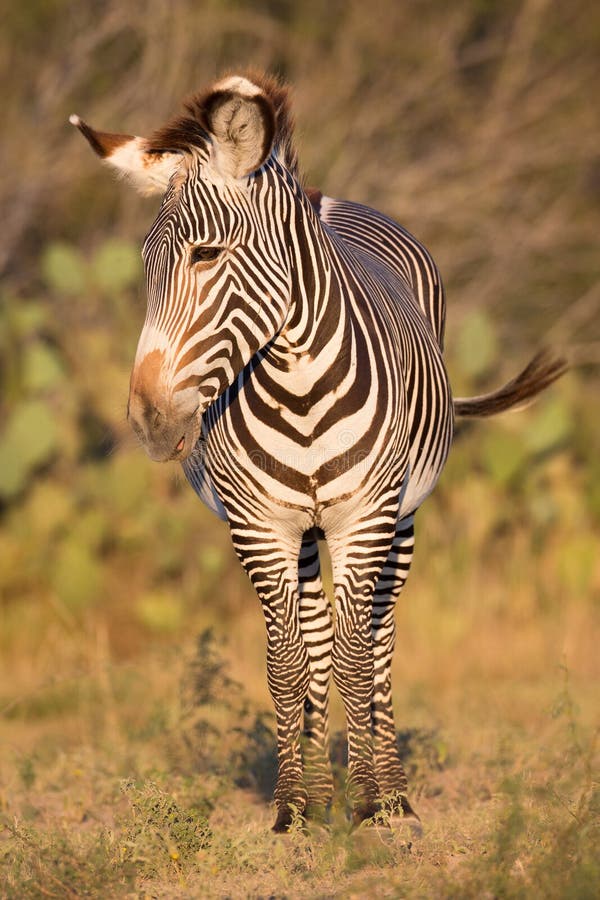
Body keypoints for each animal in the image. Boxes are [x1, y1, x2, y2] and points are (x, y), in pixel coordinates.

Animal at [71, 72, 565, 833]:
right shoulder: (259, 527)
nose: (149, 421)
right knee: (316, 638)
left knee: (379, 640)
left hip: (401, 519)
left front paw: (369, 808)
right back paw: (323, 791)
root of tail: (328, 196)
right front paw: (294, 811)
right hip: (304, 531)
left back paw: (392, 794)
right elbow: (288, 663)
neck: (297, 387)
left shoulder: (366, 518)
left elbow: (360, 657)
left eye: (205, 255)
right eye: (145, 266)